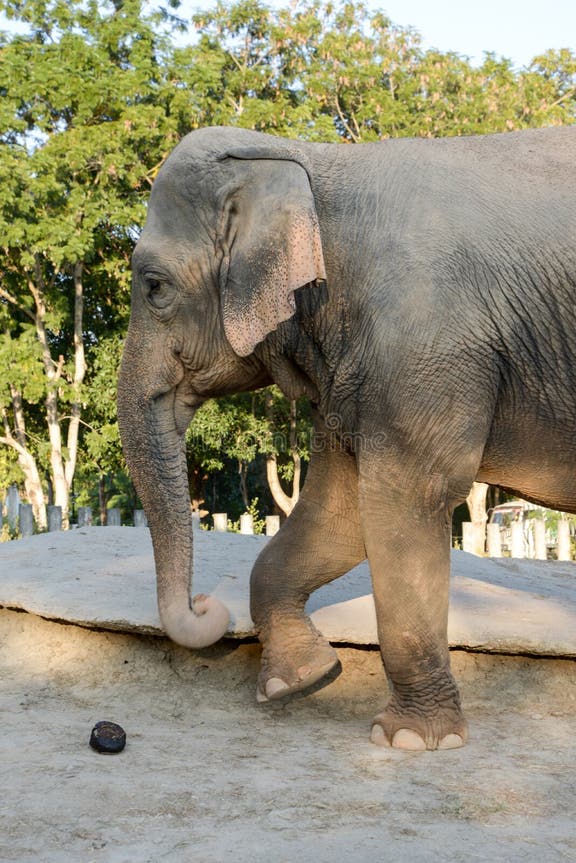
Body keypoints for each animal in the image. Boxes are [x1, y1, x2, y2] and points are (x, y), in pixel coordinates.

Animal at [117, 124, 576, 751]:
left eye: (154, 286)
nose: (208, 606)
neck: (310, 162)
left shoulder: (420, 342)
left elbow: (404, 500)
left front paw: (410, 741)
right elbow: (340, 510)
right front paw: (299, 682)